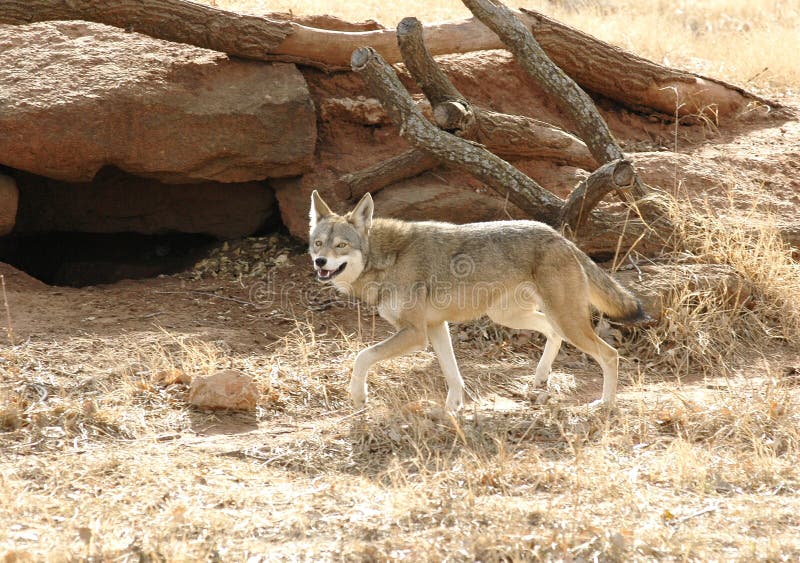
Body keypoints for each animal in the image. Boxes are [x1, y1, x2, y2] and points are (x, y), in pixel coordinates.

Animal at [308, 190, 647, 412]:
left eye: (341, 245)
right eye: (318, 243)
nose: (319, 262)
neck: (387, 258)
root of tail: (560, 237)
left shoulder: (416, 334)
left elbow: (362, 356)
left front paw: (358, 397)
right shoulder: (436, 327)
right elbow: (453, 374)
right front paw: (453, 409)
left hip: (565, 322)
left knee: (610, 355)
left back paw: (605, 404)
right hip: (514, 316)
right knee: (552, 333)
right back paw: (540, 379)